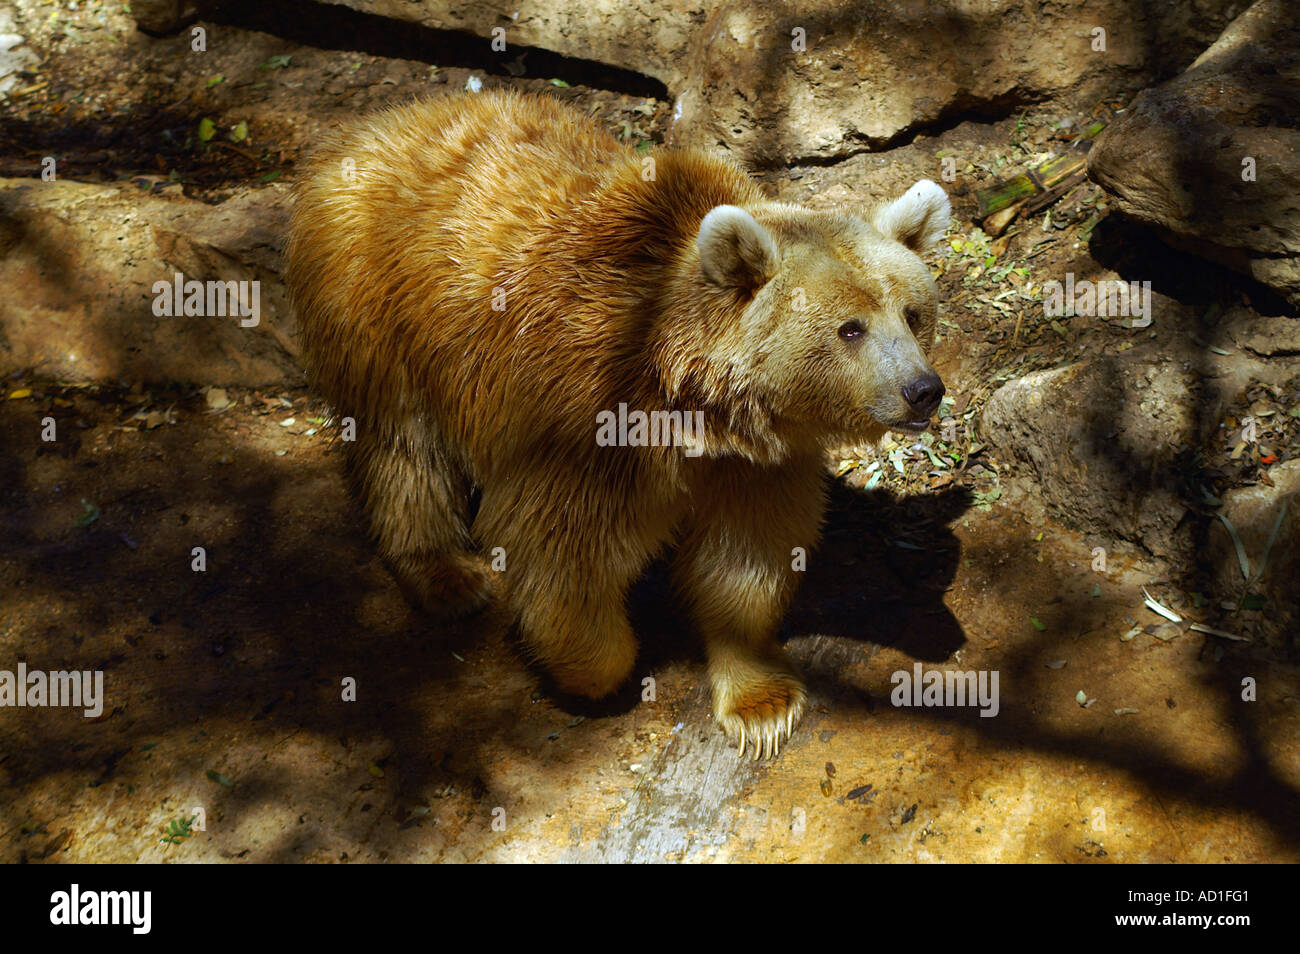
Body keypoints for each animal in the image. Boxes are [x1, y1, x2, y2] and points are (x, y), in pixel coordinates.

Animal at [285, 90, 950, 759]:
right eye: (850, 329)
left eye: (913, 314)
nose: (923, 390)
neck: (693, 399)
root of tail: (384, 121)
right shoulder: (587, 417)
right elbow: (563, 545)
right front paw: (594, 668)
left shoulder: (753, 463)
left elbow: (745, 557)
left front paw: (762, 705)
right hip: (378, 299)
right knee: (403, 446)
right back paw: (446, 575)